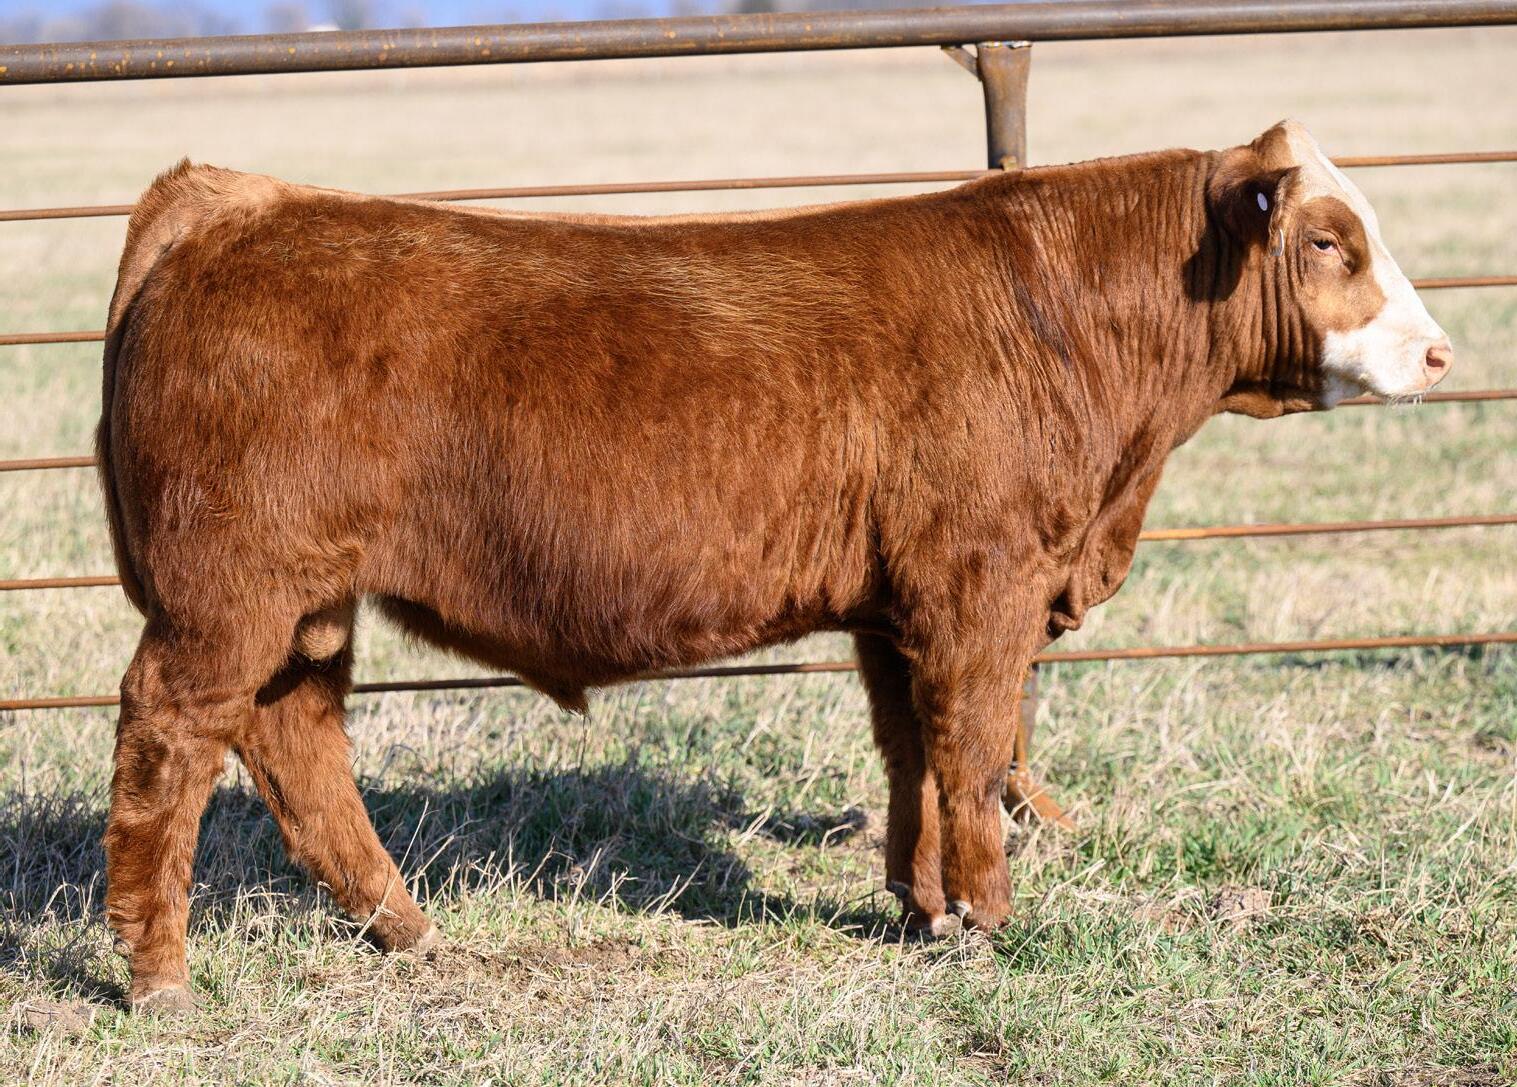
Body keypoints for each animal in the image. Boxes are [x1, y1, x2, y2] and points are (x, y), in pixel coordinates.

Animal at [97, 121, 1451, 1011]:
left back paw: (409, 932)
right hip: (229, 591)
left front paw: (921, 907)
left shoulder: (894, 604)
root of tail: (237, 200)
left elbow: (913, 750)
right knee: (171, 734)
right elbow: (973, 746)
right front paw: (988, 918)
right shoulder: (980, 580)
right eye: (1326, 240)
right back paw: (160, 975)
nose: (1438, 352)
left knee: (295, 742)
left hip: (302, 606)